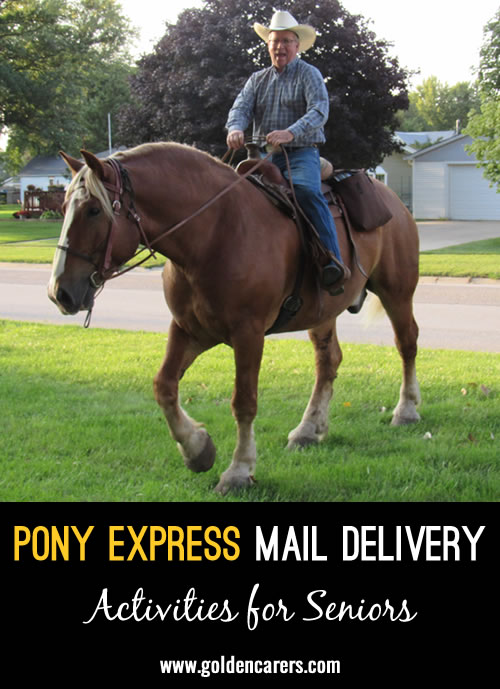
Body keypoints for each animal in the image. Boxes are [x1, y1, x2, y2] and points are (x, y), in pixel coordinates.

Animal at [48, 142, 421, 494]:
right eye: (64, 209)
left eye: (94, 210)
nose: (59, 293)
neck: (212, 235)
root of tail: (393, 201)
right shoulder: (189, 330)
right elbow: (164, 386)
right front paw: (197, 449)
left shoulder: (248, 334)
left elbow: (243, 402)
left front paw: (239, 471)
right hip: (323, 313)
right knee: (328, 362)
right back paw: (307, 430)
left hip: (396, 293)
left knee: (407, 344)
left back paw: (406, 411)